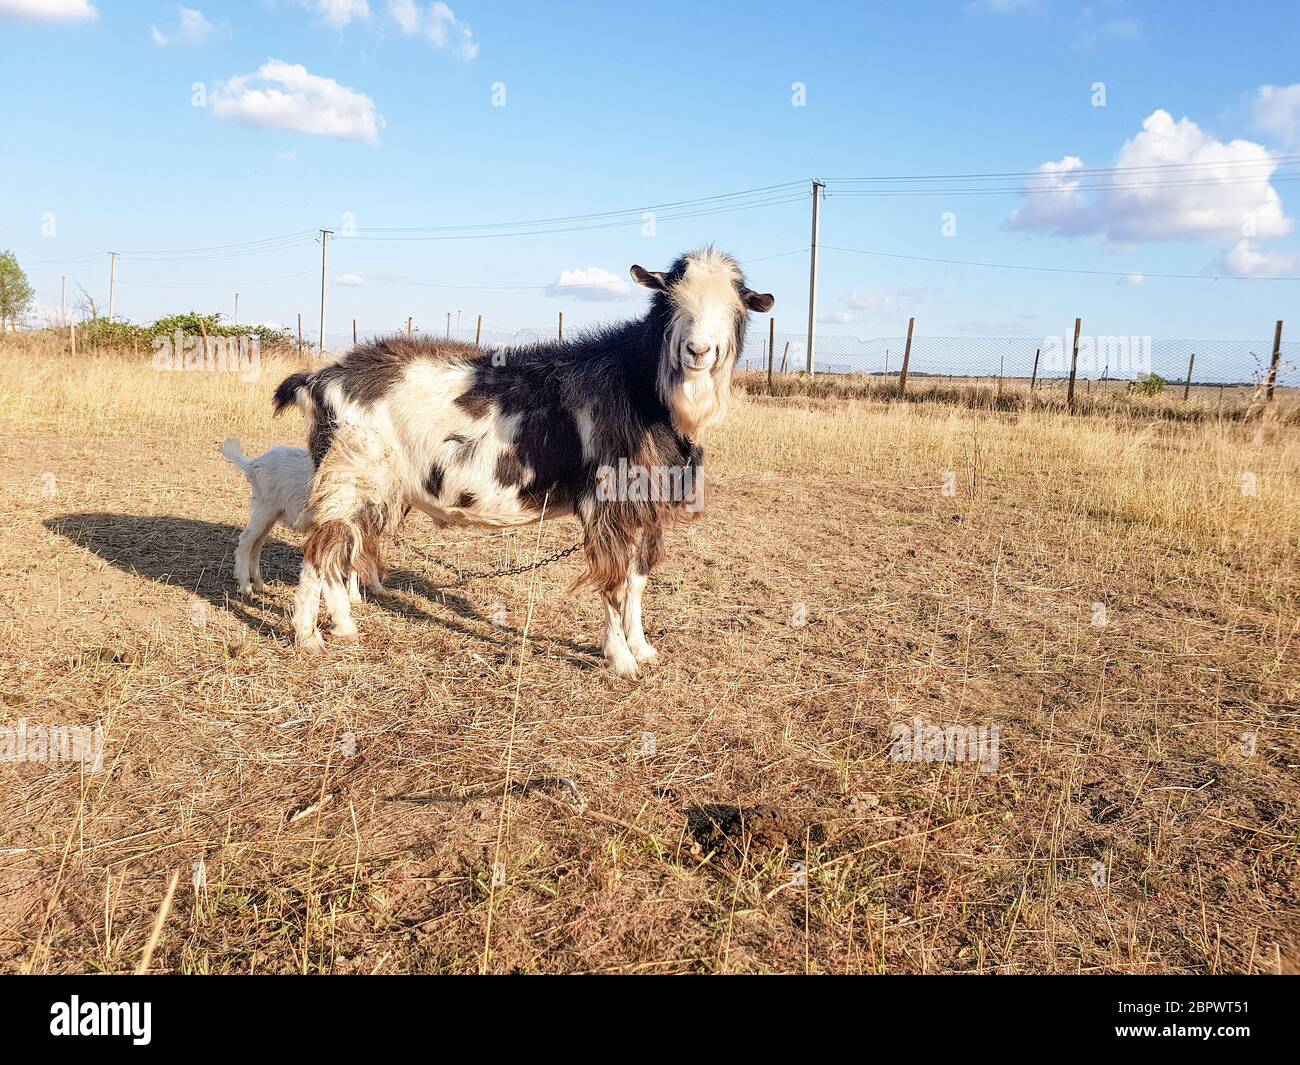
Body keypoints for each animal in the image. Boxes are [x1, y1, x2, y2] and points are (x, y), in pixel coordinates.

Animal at [219, 438, 387, 599]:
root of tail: (252, 465)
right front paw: (355, 595)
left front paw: (377, 589)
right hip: (264, 508)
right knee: (246, 540)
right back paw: (245, 586)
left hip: (271, 514)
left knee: (257, 543)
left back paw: (260, 584)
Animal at [273, 247, 773, 676]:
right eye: (669, 299)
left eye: (737, 304)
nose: (698, 352)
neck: (638, 387)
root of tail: (319, 379)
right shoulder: (606, 505)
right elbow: (612, 580)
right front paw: (621, 660)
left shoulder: (642, 506)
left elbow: (636, 579)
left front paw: (643, 649)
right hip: (346, 474)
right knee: (318, 551)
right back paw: (308, 637)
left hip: (369, 489)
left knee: (340, 549)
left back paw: (344, 626)